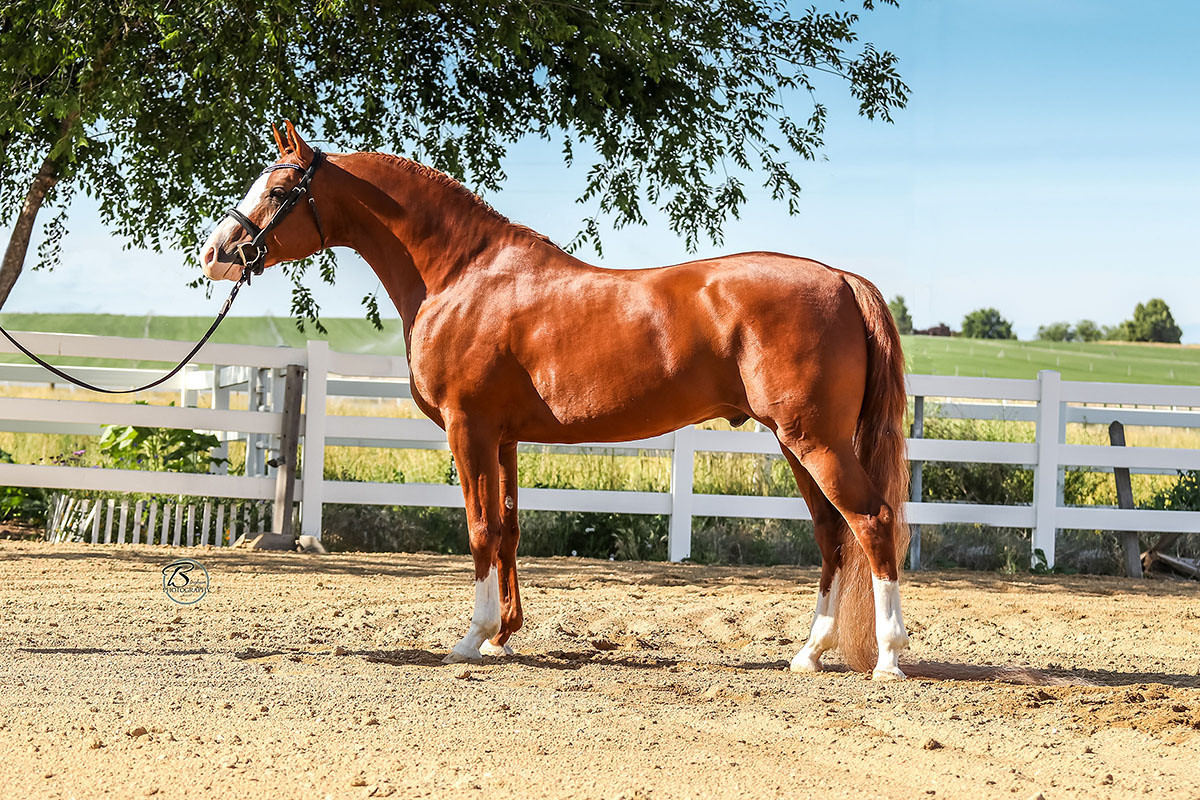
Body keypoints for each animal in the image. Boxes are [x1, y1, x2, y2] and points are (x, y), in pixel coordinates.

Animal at [200, 121, 912, 680]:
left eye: (277, 190)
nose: (217, 254)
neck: (462, 276)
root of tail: (841, 280)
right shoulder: (504, 437)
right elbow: (508, 527)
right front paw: (503, 635)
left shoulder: (468, 428)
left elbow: (480, 528)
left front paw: (471, 639)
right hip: (797, 443)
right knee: (832, 534)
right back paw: (808, 654)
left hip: (814, 441)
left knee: (872, 522)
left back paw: (888, 657)